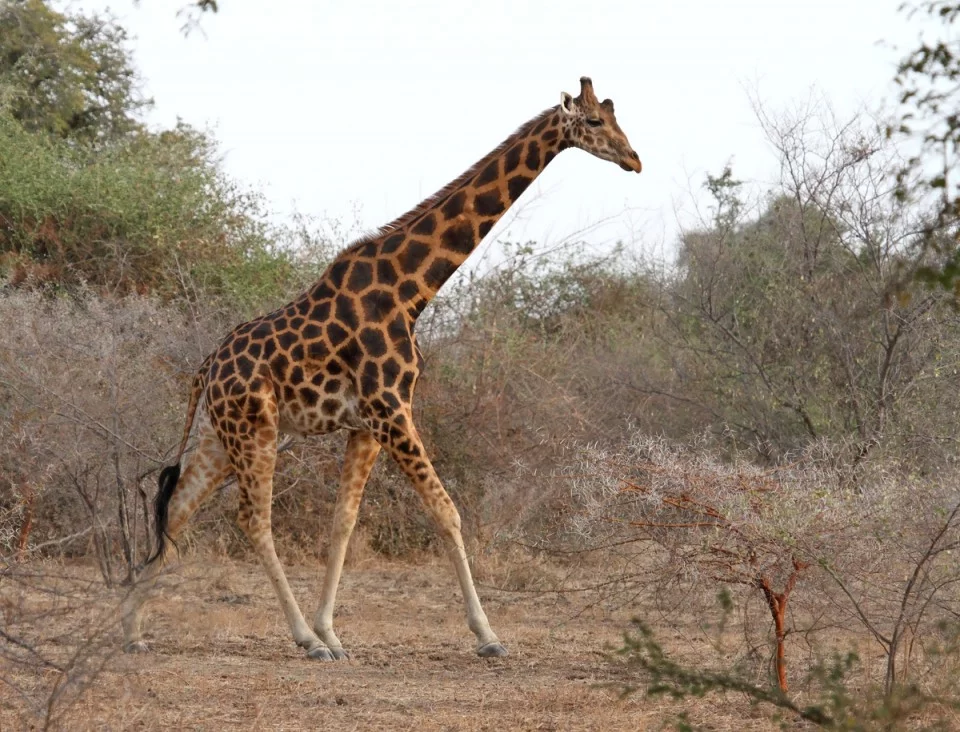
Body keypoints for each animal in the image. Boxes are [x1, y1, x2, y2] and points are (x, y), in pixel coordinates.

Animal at [121, 76, 642, 660]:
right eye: (595, 122)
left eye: (617, 118)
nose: (635, 159)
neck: (410, 291)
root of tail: (205, 370)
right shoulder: (392, 408)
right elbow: (446, 511)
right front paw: (487, 636)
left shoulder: (368, 423)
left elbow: (343, 522)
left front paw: (333, 630)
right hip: (255, 429)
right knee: (252, 519)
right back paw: (303, 640)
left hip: (220, 435)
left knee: (178, 508)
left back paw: (132, 630)